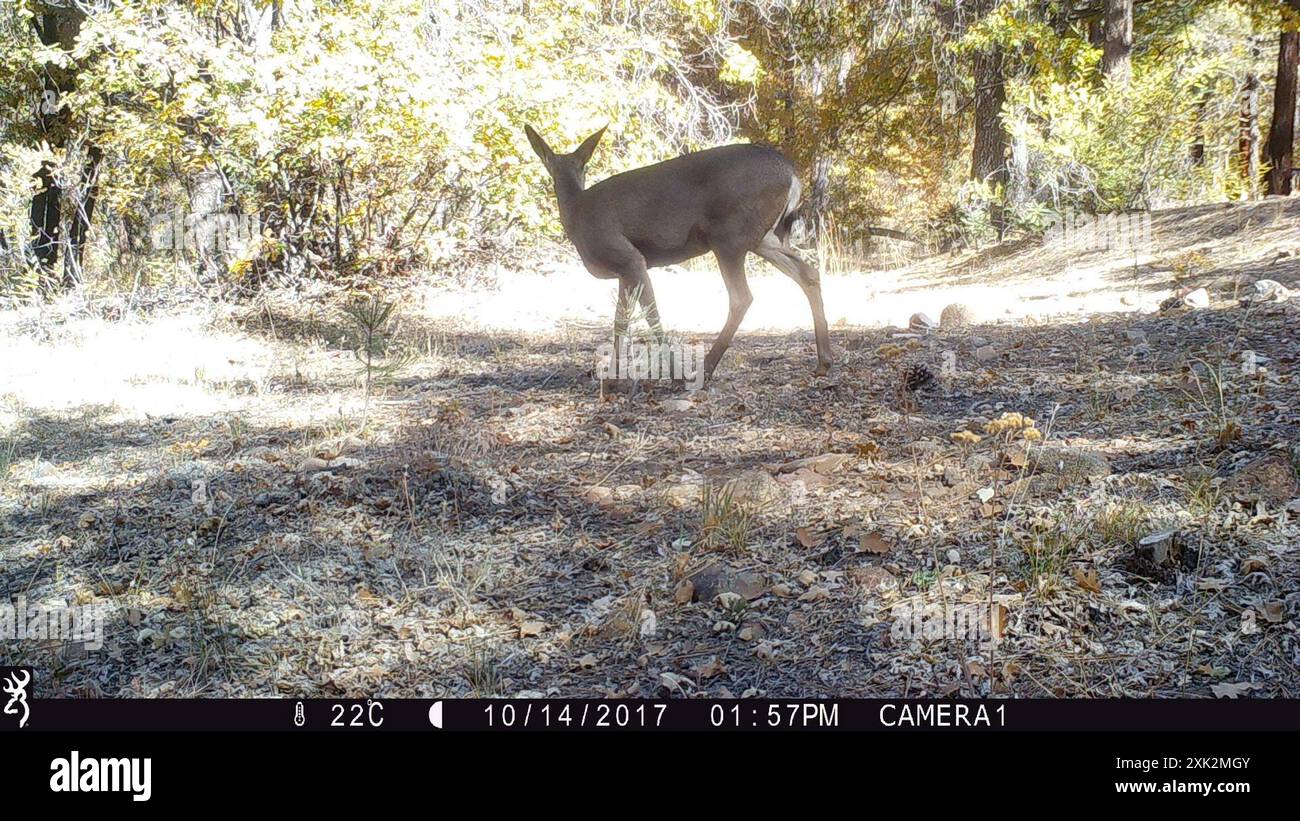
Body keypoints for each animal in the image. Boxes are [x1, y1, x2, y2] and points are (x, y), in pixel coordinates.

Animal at [523, 125, 832, 384]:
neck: (576, 211)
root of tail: (792, 174)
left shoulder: (629, 257)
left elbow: (650, 314)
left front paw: (670, 369)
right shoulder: (623, 271)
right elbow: (620, 320)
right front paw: (613, 376)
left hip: (729, 236)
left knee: (742, 297)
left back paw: (705, 368)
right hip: (762, 238)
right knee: (808, 272)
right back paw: (823, 362)